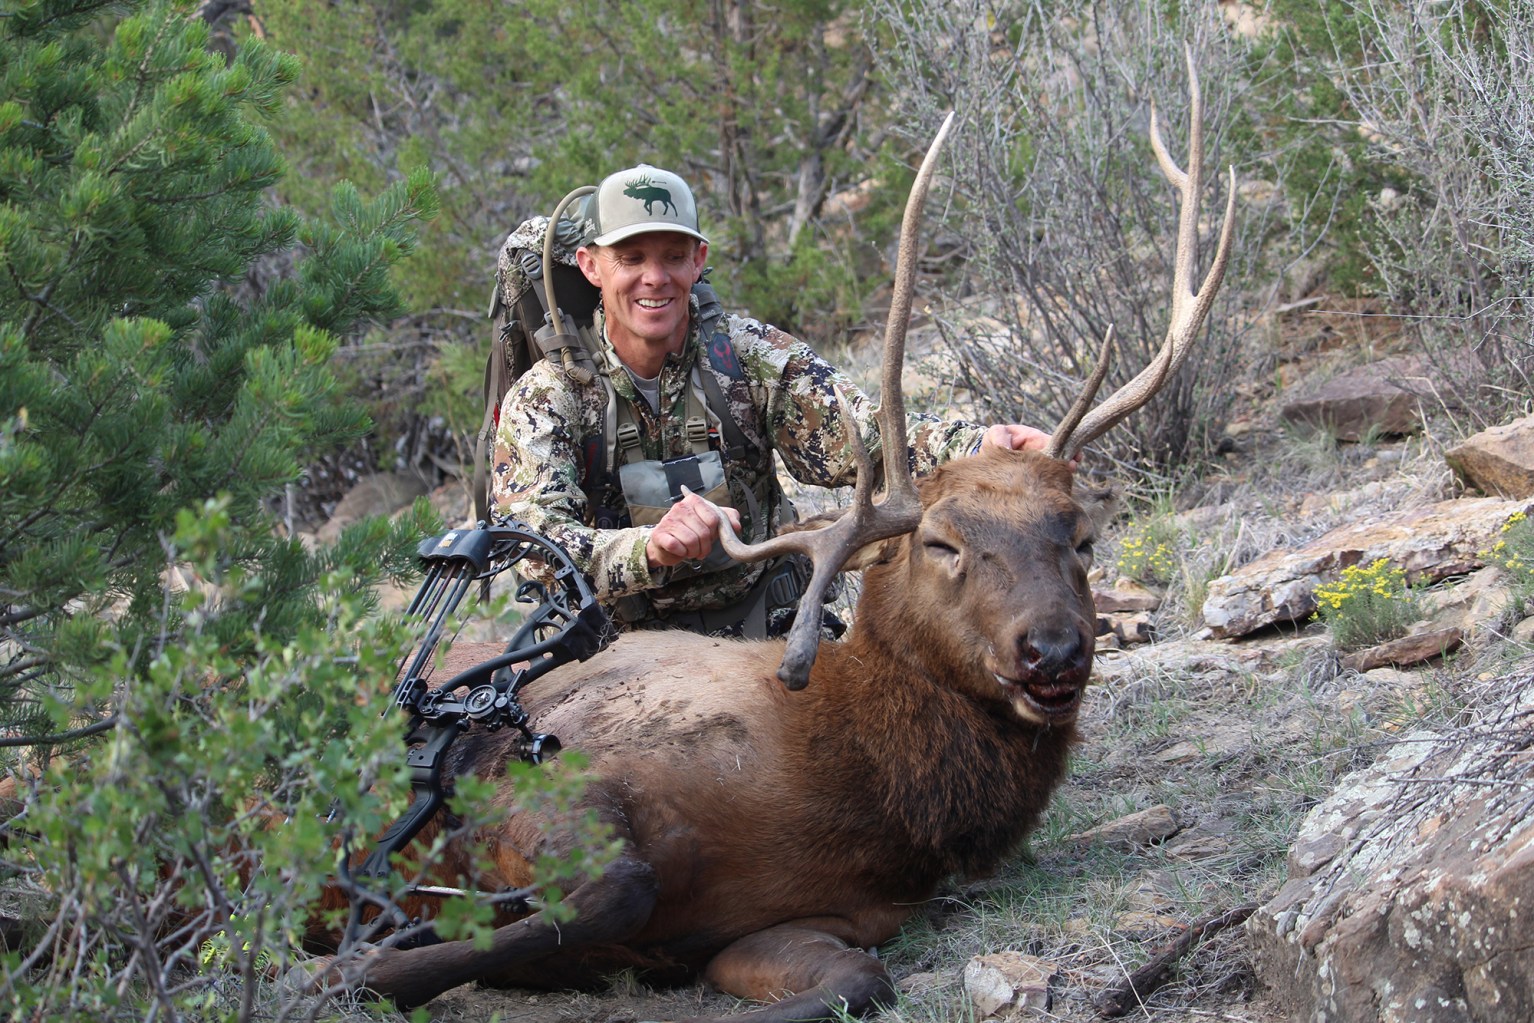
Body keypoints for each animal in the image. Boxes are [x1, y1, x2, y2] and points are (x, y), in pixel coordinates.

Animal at [321, 50, 1235, 1022]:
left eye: (1081, 537)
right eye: (942, 542)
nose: (1055, 648)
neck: (846, 782)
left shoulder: (781, 924)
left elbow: (855, 979)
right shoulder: (548, 776)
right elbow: (609, 890)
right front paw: (358, 964)